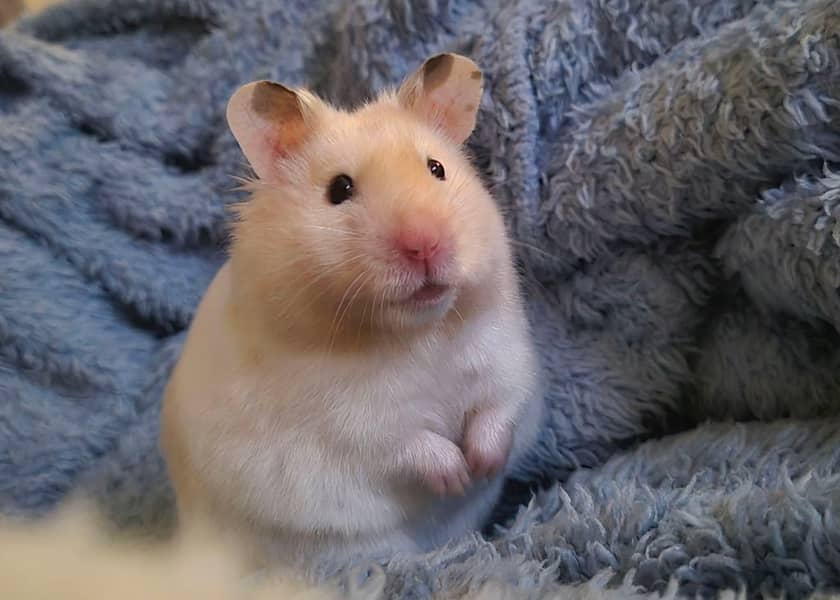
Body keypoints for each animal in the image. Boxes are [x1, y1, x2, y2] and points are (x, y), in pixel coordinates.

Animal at [160, 53, 542, 576]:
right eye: (340, 189)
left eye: (437, 168)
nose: (425, 244)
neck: (421, 333)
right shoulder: (355, 420)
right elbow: (409, 445)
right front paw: (457, 476)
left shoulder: (504, 355)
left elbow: (497, 408)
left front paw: (484, 465)